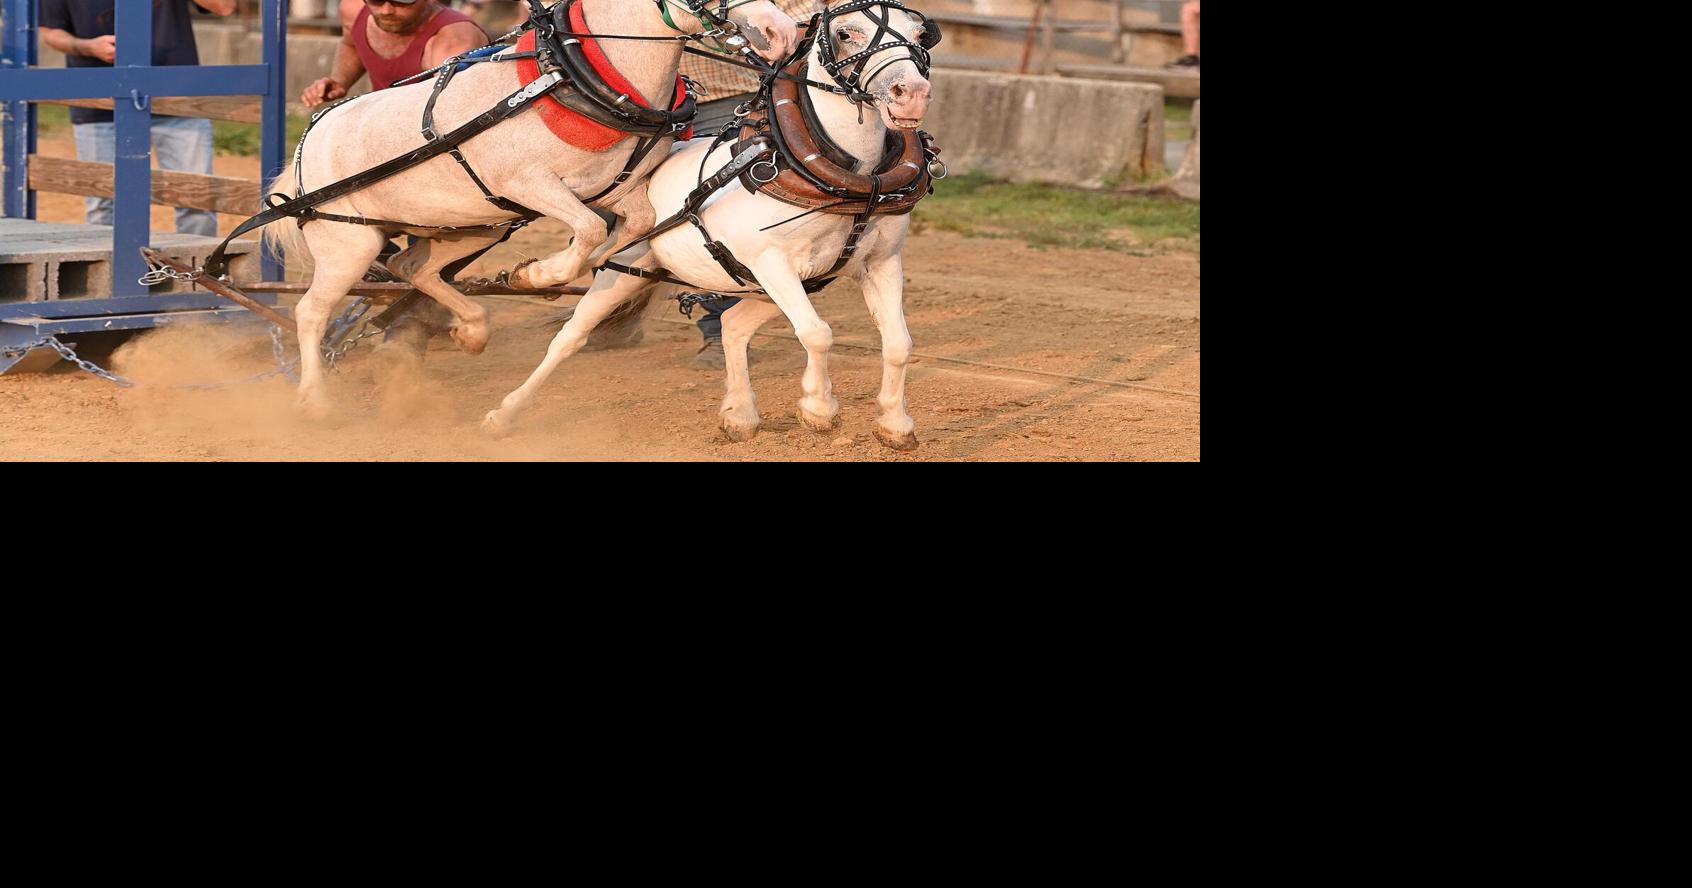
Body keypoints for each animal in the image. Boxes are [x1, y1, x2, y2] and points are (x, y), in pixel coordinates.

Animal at [262, 0, 798, 418]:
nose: (780, 30)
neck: (574, 73)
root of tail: (309, 141)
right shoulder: (529, 184)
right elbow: (587, 230)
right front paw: (537, 275)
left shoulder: (616, 190)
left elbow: (631, 227)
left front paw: (551, 273)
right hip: (349, 242)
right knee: (312, 312)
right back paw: (314, 400)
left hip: (472, 226)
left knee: (412, 267)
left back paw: (473, 330)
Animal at [484, 0, 938, 451]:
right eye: (846, 33)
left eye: (920, 34)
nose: (912, 95)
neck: (847, 175)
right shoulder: (772, 261)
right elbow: (817, 333)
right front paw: (819, 410)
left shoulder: (880, 262)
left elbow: (899, 343)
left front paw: (895, 424)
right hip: (628, 270)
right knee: (569, 338)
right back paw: (505, 411)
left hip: (771, 286)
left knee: (731, 325)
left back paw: (739, 415)